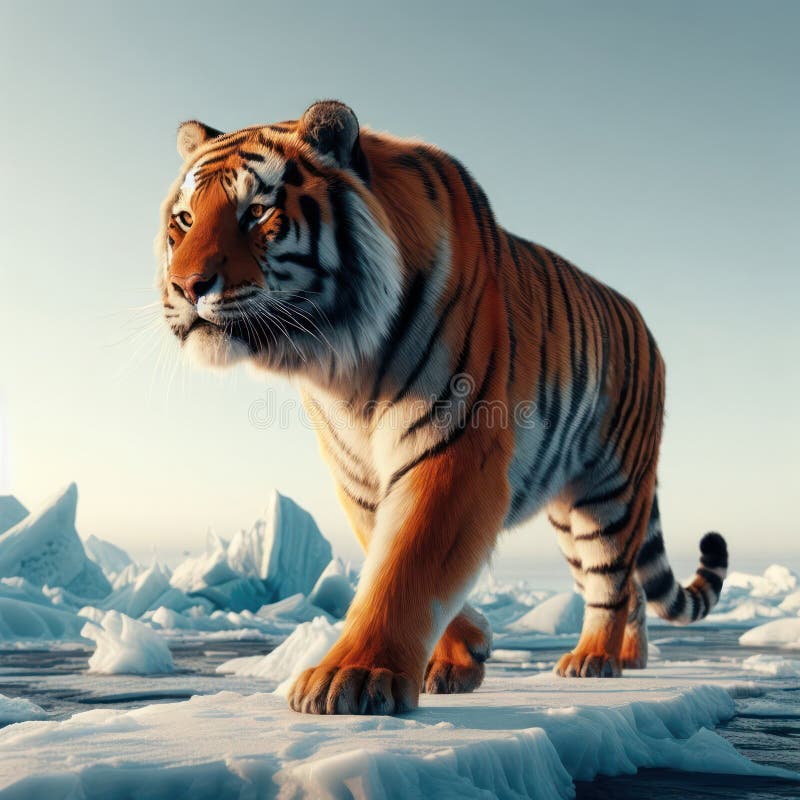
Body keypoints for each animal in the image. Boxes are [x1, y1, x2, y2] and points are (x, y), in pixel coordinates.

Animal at [157, 100, 728, 715]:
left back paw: (594, 659)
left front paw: (351, 677)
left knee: (610, 581)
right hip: (569, 509)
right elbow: (390, 552)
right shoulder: (358, 478)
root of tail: (645, 324)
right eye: (185, 219)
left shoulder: (454, 444)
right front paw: (466, 649)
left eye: (257, 212)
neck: (335, 362)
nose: (185, 286)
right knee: (628, 585)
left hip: (612, 491)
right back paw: (628, 658)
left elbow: (407, 563)